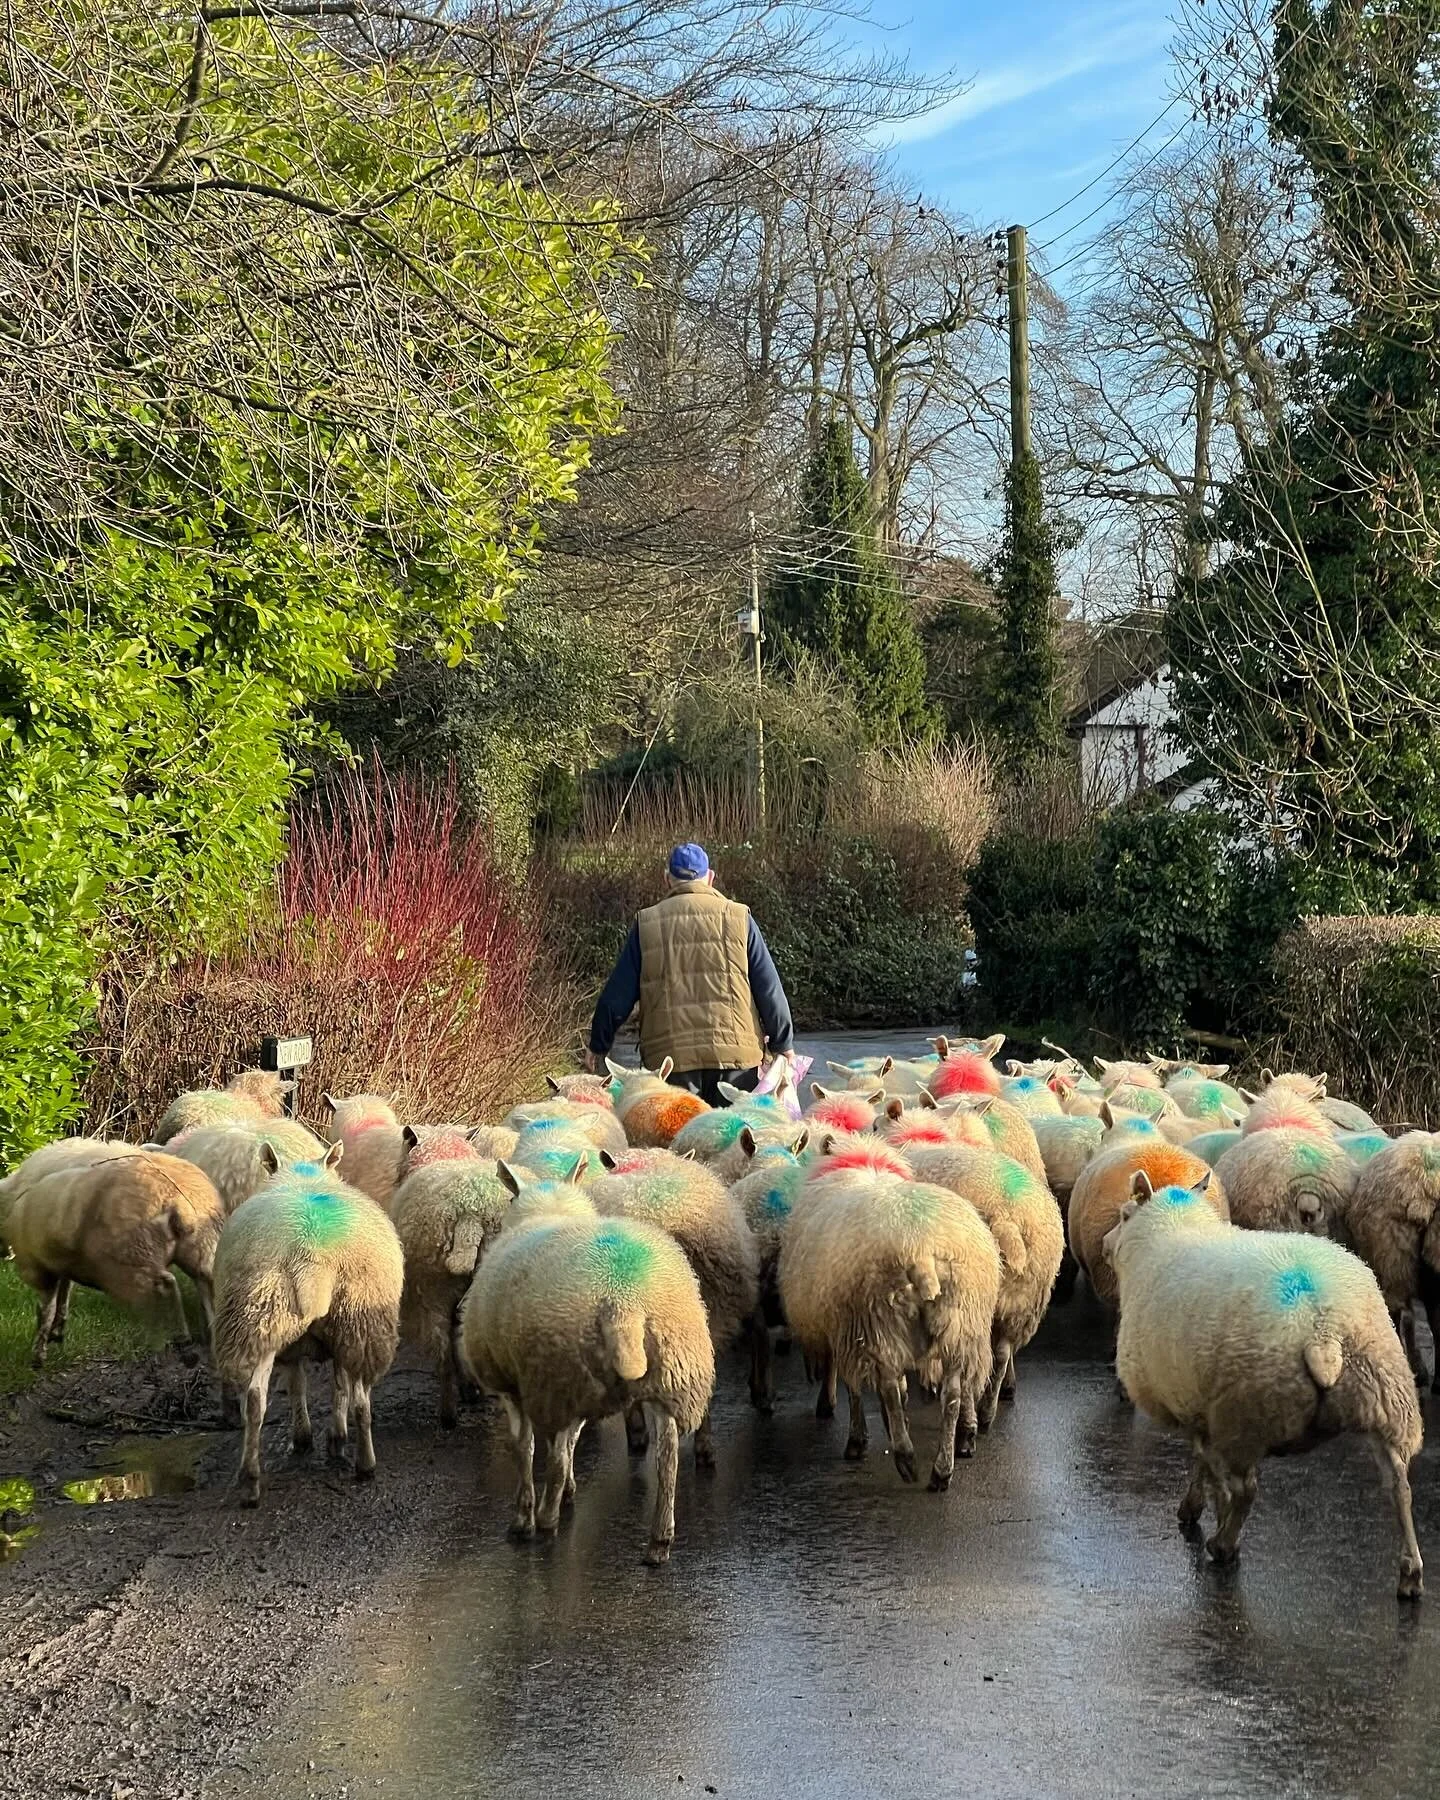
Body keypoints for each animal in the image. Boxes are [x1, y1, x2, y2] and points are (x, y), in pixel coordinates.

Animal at [2, 1152, 224, 1366]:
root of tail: (177, 1200)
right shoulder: (61, 1264)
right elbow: (63, 1297)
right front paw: (57, 1332)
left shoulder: (38, 1269)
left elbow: (44, 1310)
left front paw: (39, 1354)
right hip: (200, 1249)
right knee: (207, 1285)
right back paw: (211, 1339)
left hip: (132, 1256)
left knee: (164, 1286)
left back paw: (179, 1336)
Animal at [212, 1159, 404, 1504]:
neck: (304, 1176)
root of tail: (311, 1254)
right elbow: (336, 1388)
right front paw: (332, 1437)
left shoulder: (294, 1349)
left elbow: (301, 1387)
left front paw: (308, 1438)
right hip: (358, 1327)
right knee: (361, 1401)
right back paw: (365, 1465)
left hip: (263, 1321)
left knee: (255, 1400)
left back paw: (250, 1480)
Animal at [458, 1209, 715, 1563]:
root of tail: (624, 1303)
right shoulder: (583, 1395)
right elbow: (571, 1441)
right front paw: (568, 1490)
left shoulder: (516, 1390)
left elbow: (524, 1447)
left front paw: (524, 1517)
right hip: (670, 1379)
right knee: (667, 1458)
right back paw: (659, 1542)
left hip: (557, 1378)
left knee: (554, 1460)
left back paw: (545, 1520)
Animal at [779, 1167, 1000, 1486]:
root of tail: (921, 1250)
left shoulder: (848, 1330)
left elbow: (854, 1388)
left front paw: (857, 1440)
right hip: (960, 1326)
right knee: (952, 1396)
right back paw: (942, 1470)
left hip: (877, 1321)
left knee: (889, 1388)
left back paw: (905, 1458)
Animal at [1107, 1172, 1423, 1597]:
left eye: (1125, 1213)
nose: (1105, 1244)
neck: (1172, 1232)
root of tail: (1322, 1326)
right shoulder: (1202, 1407)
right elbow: (1205, 1464)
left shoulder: (1197, 1404)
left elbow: (1207, 1468)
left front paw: (1199, 1509)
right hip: (1386, 1397)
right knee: (1398, 1485)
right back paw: (1410, 1572)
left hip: (1248, 1407)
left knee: (1247, 1490)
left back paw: (1224, 1544)